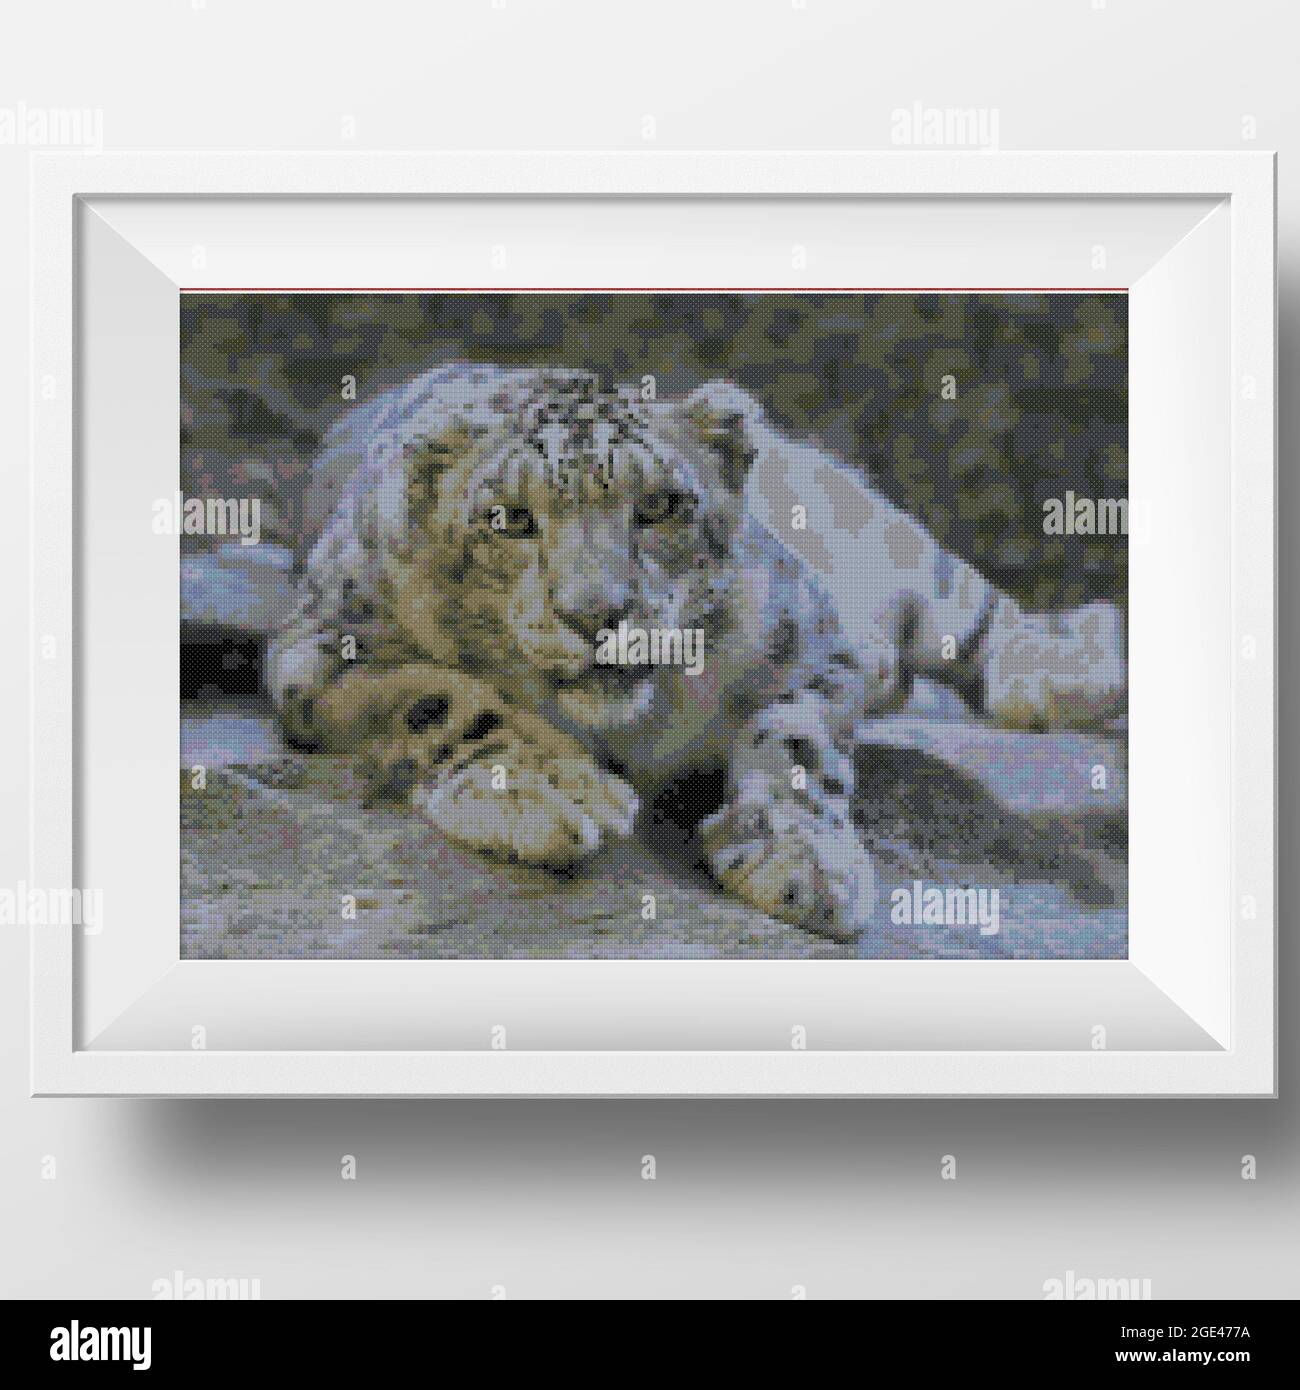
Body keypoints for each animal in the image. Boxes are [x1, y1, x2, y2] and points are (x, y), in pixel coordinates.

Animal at [266, 363, 1126, 942]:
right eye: (509, 519)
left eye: (659, 506)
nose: (596, 613)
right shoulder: (324, 645)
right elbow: (446, 695)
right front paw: (552, 791)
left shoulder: (814, 644)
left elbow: (798, 740)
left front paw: (800, 859)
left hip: (883, 539)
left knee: (966, 601)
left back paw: (1067, 669)